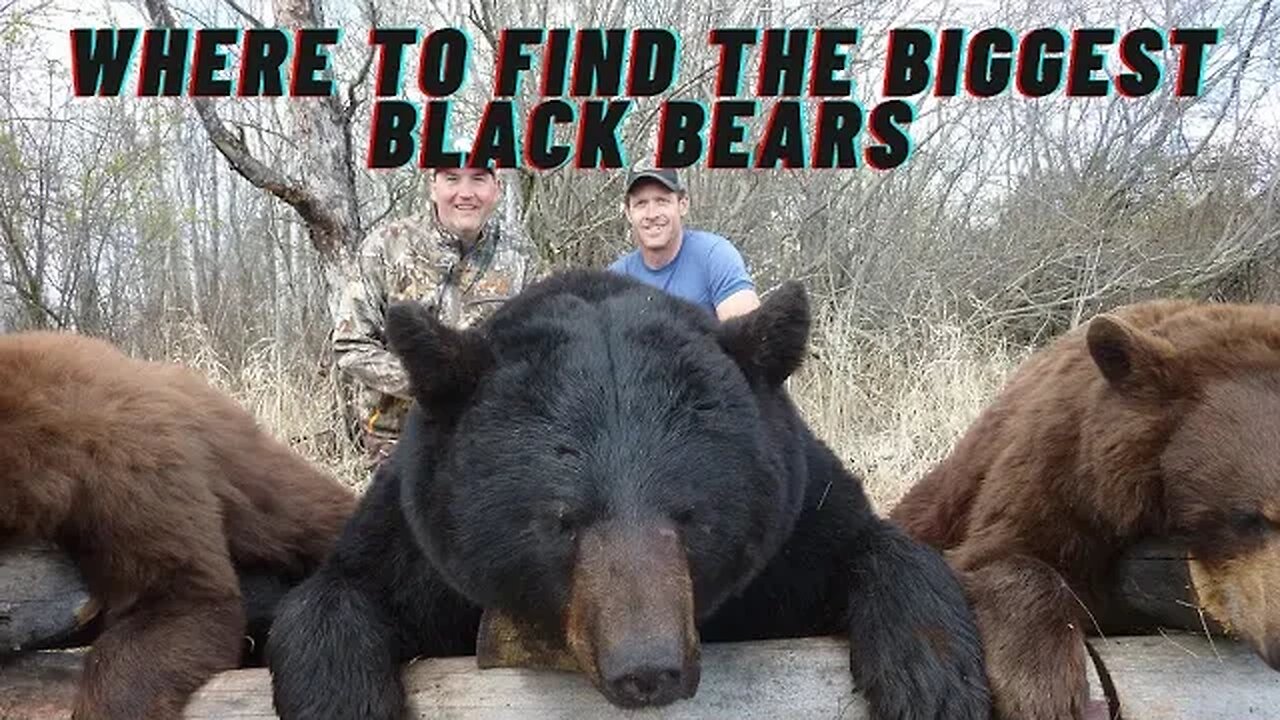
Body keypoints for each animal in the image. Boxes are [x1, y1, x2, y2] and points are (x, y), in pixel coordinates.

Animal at [266, 269, 992, 720]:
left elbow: (877, 545)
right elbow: (333, 594)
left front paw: (935, 683)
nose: (648, 669)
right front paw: (344, 698)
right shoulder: (417, 536)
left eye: (692, 517)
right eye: (562, 521)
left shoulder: (795, 525)